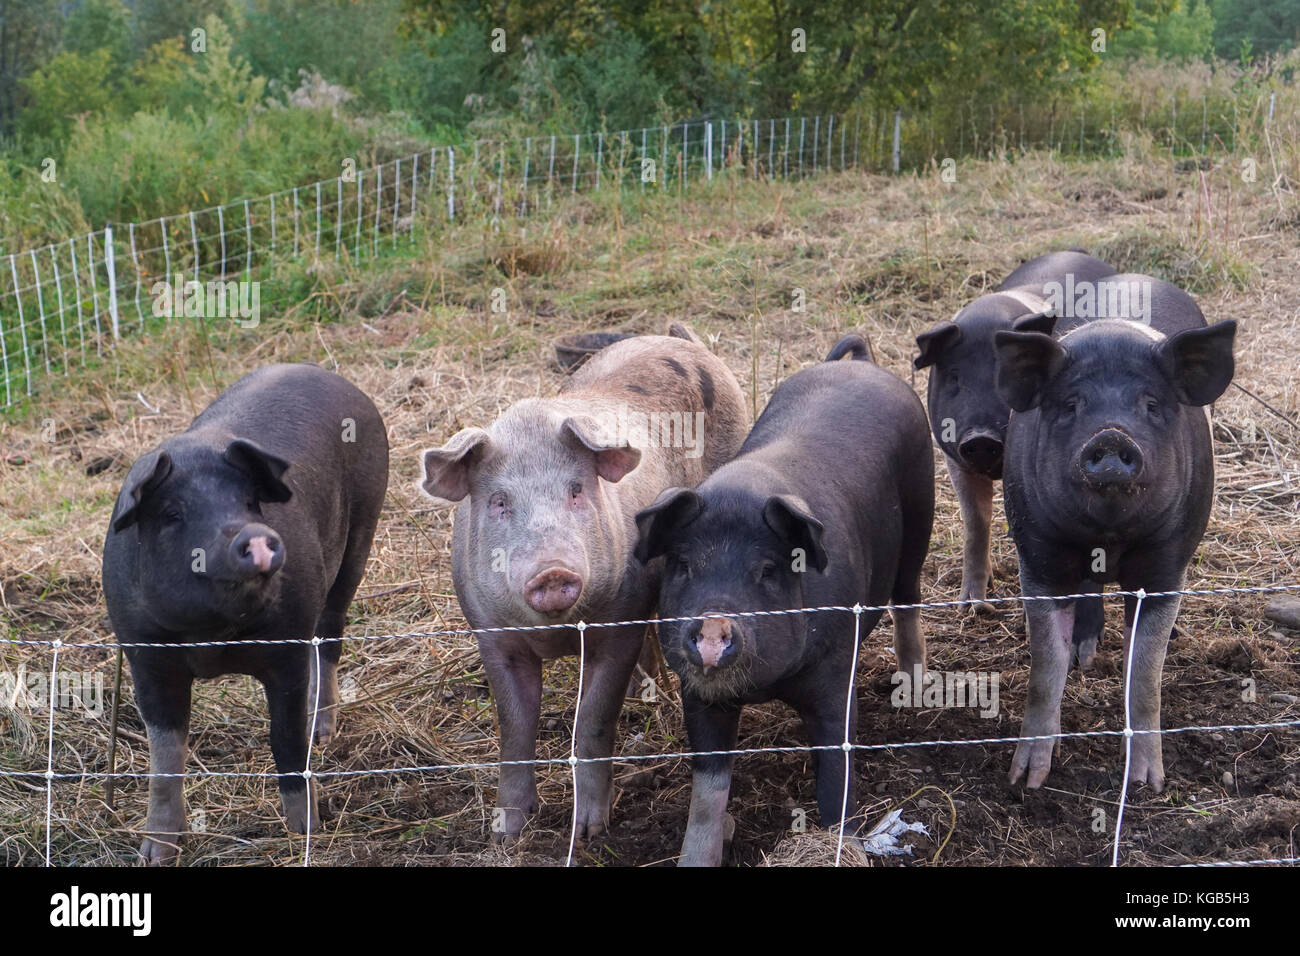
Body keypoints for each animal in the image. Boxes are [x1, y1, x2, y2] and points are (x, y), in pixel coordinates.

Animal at [103, 364, 389, 863]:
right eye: (172, 514)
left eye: (251, 501)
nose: (254, 535)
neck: (211, 635)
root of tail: (335, 379)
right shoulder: (145, 657)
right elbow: (165, 756)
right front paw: (154, 853)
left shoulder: (286, 648)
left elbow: (286, 740)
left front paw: (306, 830)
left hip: (362, 531)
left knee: (330, 635)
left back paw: (323, 735)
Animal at [418, 325, 749, 843]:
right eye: (499, 502)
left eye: (576, 490)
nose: (552, 571)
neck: (553, 632)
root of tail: (682, 340)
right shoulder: (491, 636)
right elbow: (514, 726)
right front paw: (507, 832)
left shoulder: (618, 623)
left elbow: (594, 720)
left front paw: (590, 830)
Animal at [634, 335, 934, 866]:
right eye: (684, 565)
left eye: (768, 570)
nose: (714, 624)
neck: (768, 686)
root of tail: (864, 365)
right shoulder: (698, 694)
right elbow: (707, 790)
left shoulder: (835, 672)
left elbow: (836, 775)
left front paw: (840, 844)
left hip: (922, 508)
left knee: (909, 597)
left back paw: (912, 690)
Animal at [994, 314, 1236, 791]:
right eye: (1071, 405)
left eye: (1152, 405)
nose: (1109, 435)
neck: (1107, 537)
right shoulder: (1039, 558)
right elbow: (1044, 669)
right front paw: (1025, 782)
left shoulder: (1166, 565)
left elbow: (1144, 673)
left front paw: (1147, 784)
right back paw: (1083, 654)